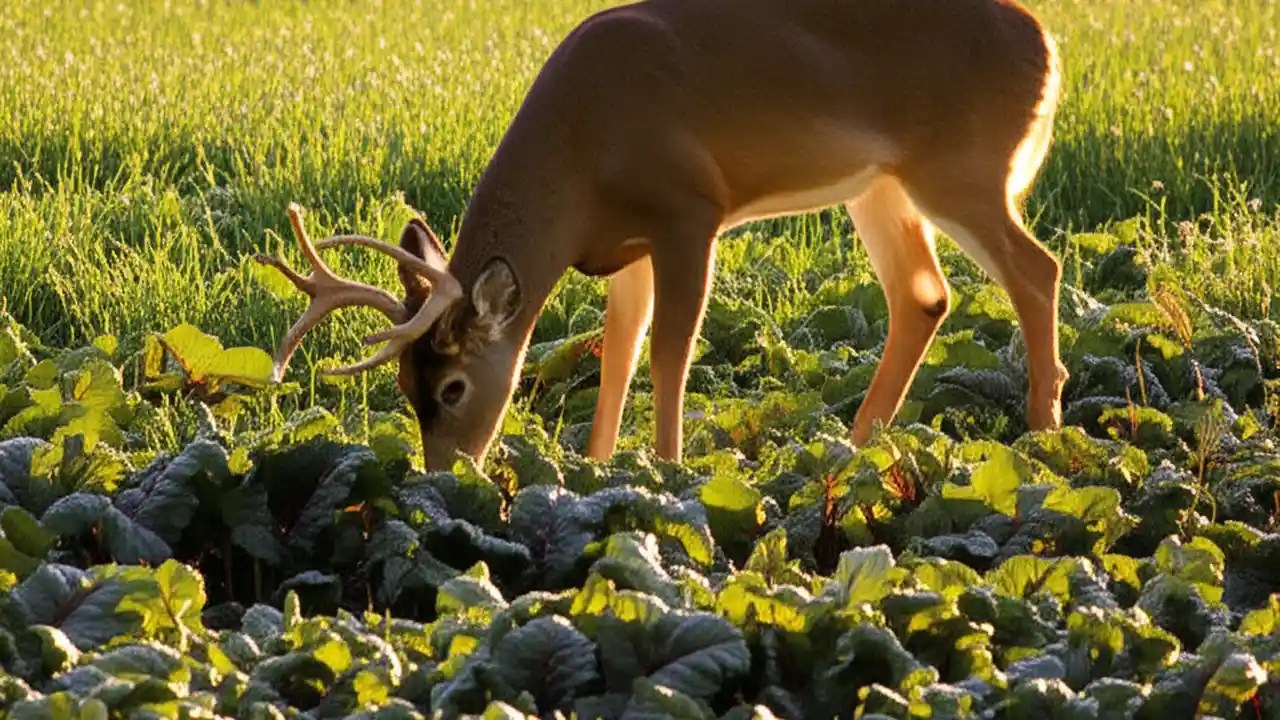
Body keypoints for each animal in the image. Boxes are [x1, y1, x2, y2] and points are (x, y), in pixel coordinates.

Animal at [254, 0, 1067, 472]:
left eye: (452, 388)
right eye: (403, 385)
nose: (445, 476)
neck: (581, 152)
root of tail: (1049, 46)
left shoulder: (688, 210)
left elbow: (671, 349)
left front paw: (668, 470)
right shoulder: (622, 248)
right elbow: (619, 348)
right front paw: (596, 468)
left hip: (961, 166)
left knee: (1037, 269)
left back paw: (1043, 435)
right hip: (881, 184)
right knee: (924, 295)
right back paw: (852, 447)